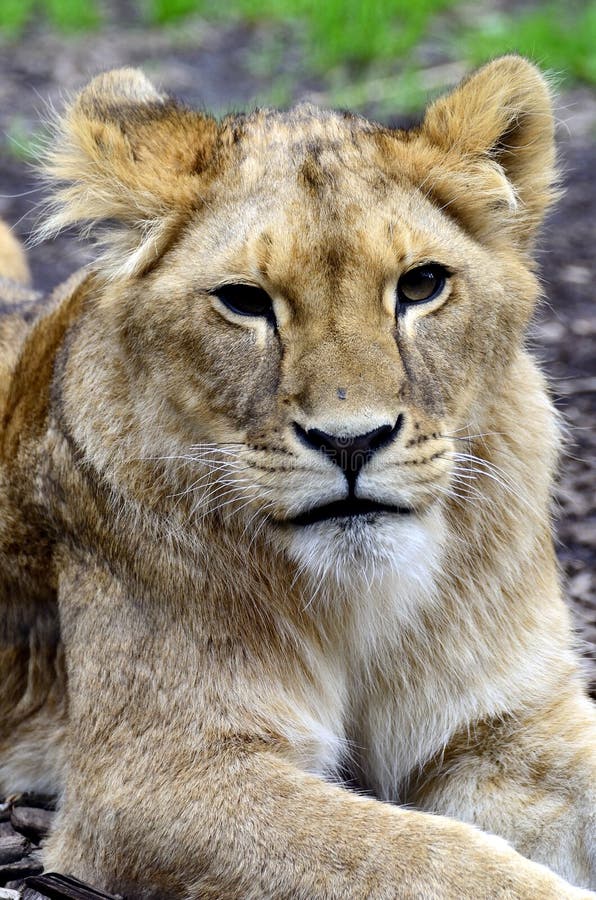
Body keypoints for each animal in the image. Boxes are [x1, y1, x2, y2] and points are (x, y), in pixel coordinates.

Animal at [0, 56, 595, 899]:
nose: (352, 443)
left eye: (422, 286)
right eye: (244, 301)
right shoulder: (152, 778)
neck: (361, 606)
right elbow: (418, 858)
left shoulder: (506, 722)